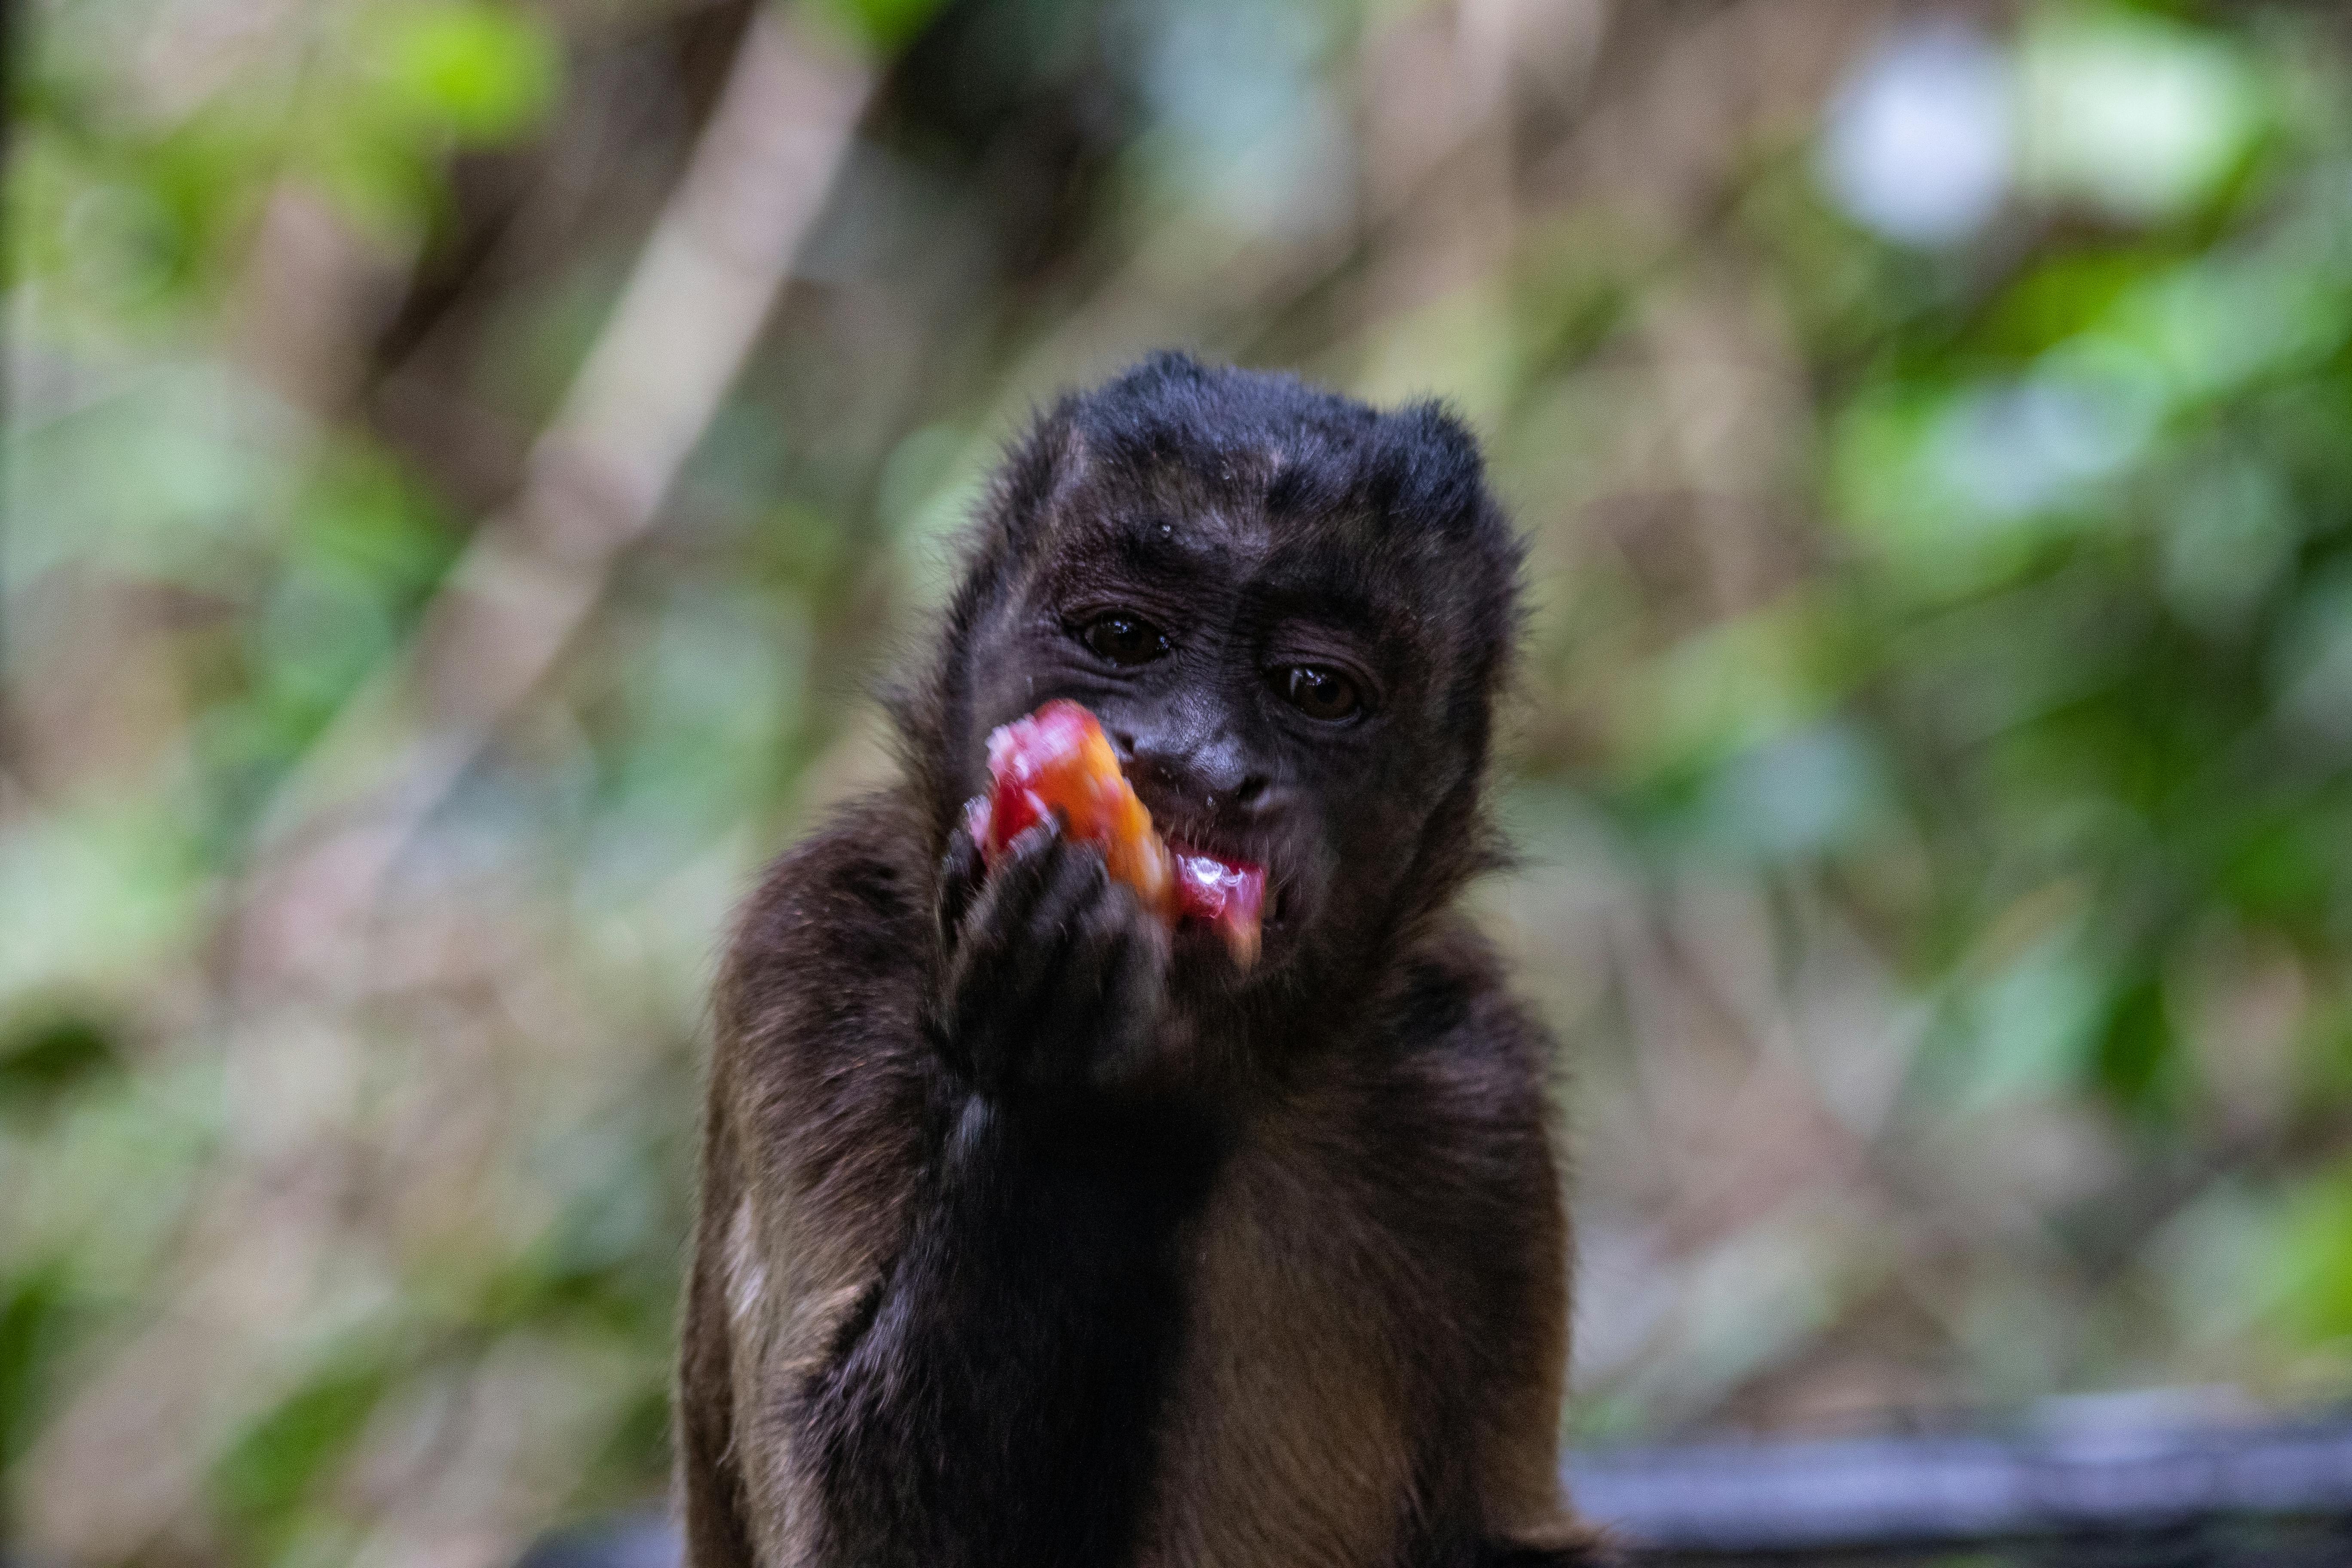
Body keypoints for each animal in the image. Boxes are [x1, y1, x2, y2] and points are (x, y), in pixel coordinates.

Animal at [676, 352, 1608, 1568]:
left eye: (1316, 690)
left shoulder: (1475, 1086)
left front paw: (1088, 1092)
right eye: (1124, 639)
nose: (1197, 763)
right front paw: (1075, 1110)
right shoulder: (813, 954)